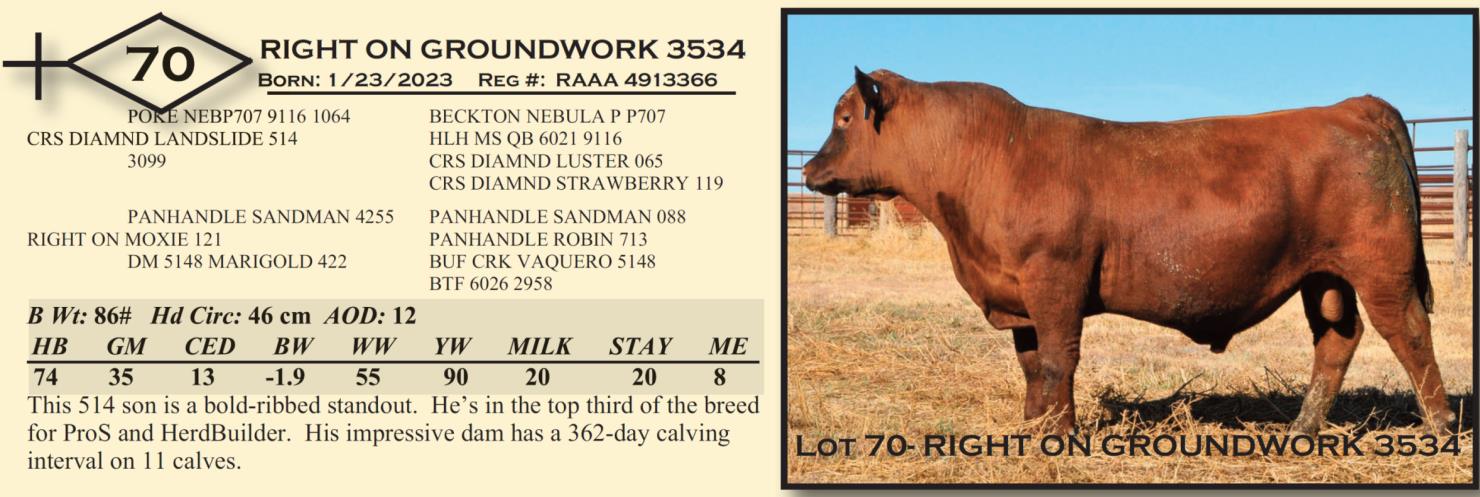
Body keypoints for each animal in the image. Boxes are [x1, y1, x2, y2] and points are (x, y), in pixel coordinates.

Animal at [801, 68, 1455, 434]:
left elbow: (1058, 360)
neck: (990, 155)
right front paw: (1033, 426)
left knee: (1410, 335)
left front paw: (1060, 436)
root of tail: (1353, 107)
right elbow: (1031, 364)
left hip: (1382, 268)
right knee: (1337, 340)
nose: (808, 171)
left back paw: (1441, 426)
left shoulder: (1055, 280)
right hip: (1324, 277)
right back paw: (1303, 428)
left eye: (844, 117)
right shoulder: (1017, 294)